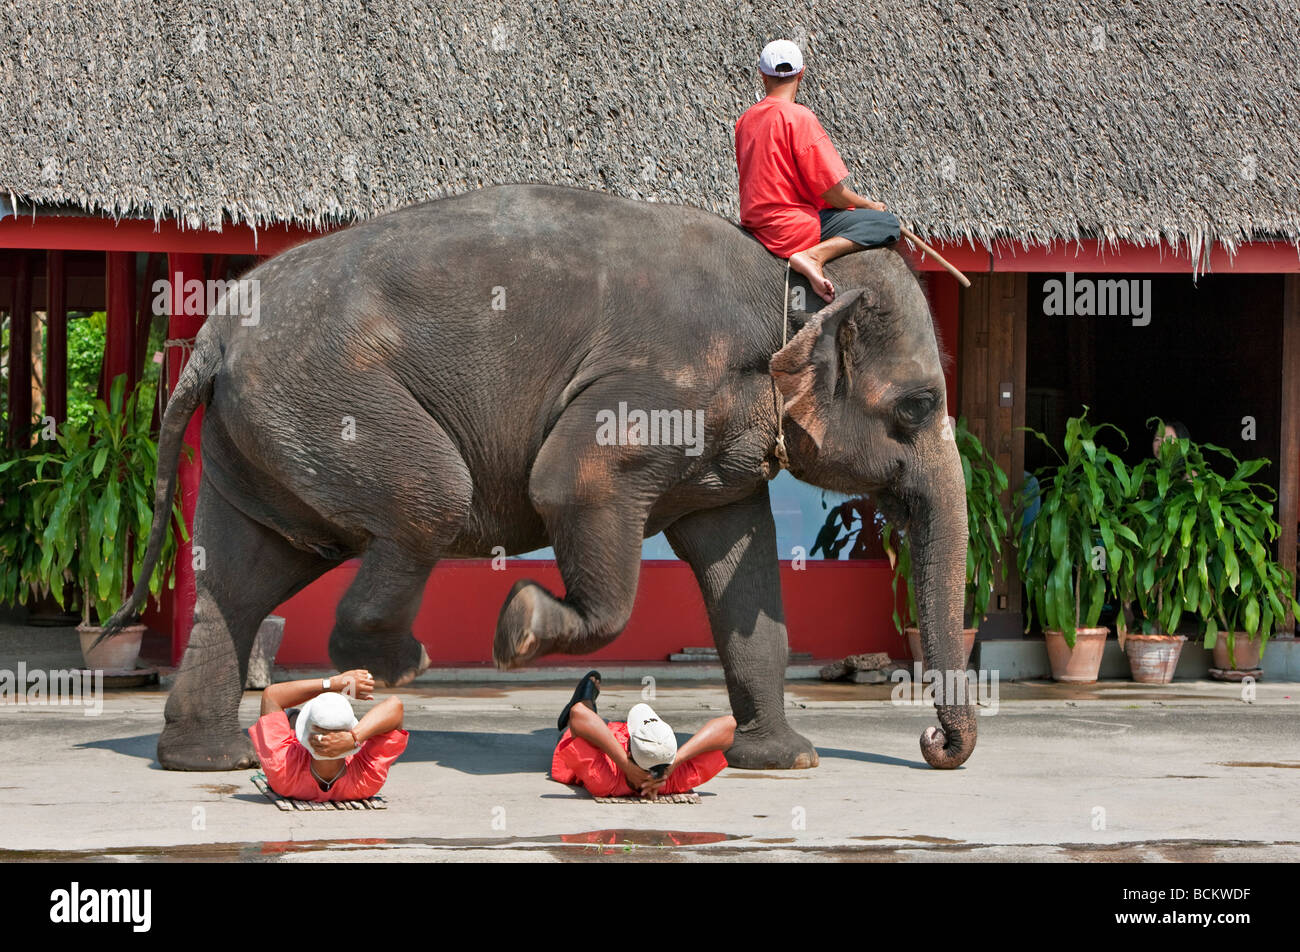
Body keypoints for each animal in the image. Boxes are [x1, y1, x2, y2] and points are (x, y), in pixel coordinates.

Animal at [105, 183, 973, 772]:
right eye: (918, 405)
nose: (935, 740)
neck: (788, 282)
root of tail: (215, 331)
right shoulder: (661, 387)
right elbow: (569, 480)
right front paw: (519, 627)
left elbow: (741, 560)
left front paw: (787, 760)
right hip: (325, 398)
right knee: (429, 501)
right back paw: (393, 665)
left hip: (255, 432)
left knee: (245, 574)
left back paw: (209, 759)